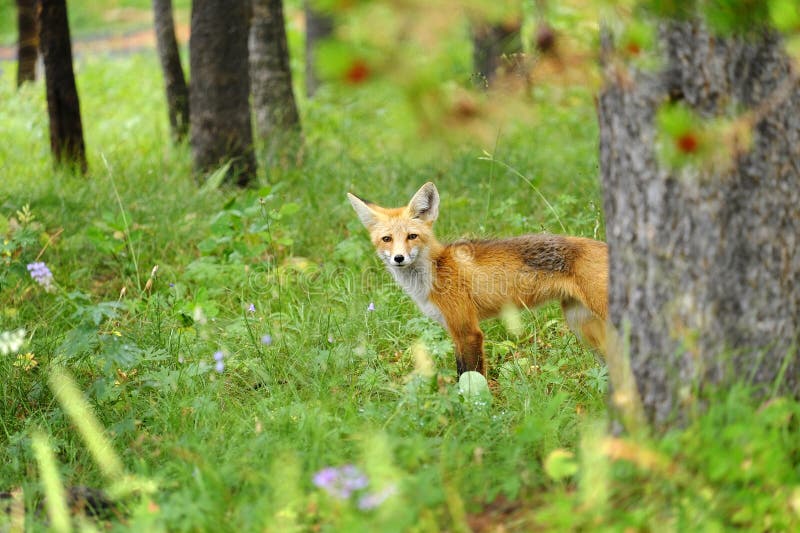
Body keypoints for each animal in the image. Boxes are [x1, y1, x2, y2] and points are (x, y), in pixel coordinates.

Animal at [347, 182, 609, 377]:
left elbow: (469, 377)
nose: (399, 258)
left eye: (412, 236)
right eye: (387, 239)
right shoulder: (454, 331)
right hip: (581, 326)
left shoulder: (467, 331)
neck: (435, 271)